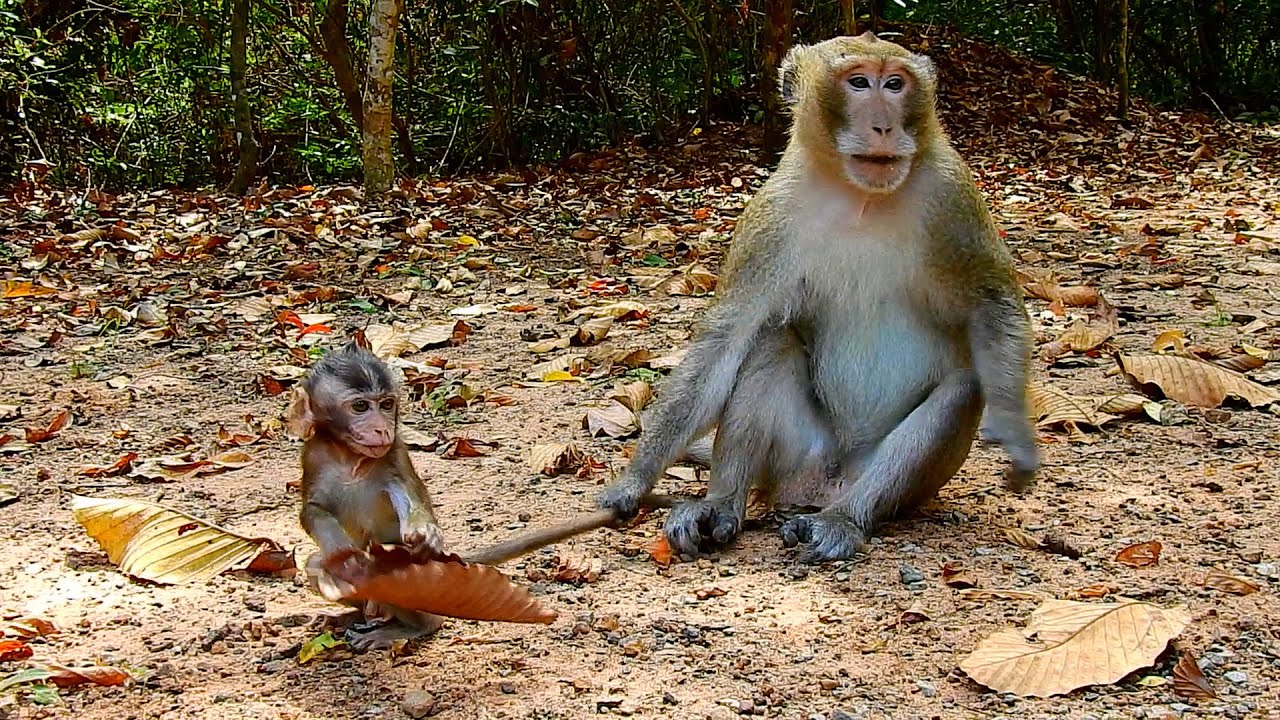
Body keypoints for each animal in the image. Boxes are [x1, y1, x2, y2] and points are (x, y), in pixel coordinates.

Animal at [597, 32, 1038, 563]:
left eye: (895, 84)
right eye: (859, 82)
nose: (883, 125)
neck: (859, 197)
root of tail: (822, 484)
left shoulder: (953, 193)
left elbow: (993, 303)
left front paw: (1014, 432)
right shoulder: (771, 213)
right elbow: (727, 339)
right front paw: (636, 479)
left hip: (900, 484)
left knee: (961, 389)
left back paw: (843, 519)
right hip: (795, 458)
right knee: (769, 343)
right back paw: (721, 506)